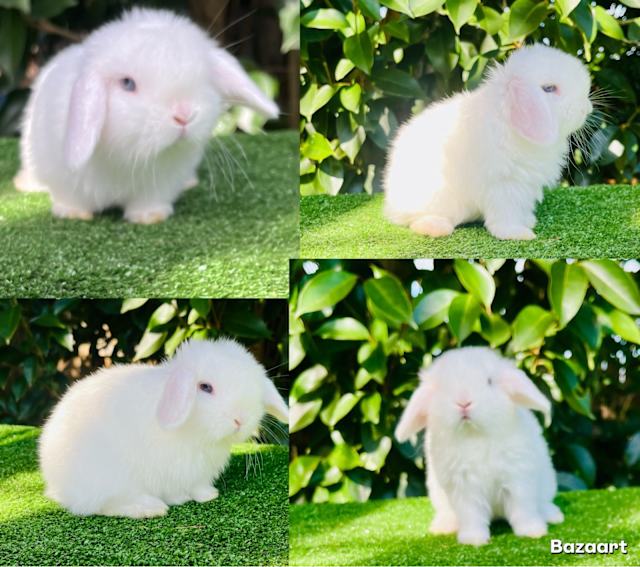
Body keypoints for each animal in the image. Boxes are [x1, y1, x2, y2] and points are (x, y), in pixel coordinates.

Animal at [14, 8, 278, 224]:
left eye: (203, 78)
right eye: (127, 84)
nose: (184, 115)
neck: (129, 154)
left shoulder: (160, 184)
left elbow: (150, 202)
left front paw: (150, 217)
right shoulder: (64, 179)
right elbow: (70, 198)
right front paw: (73, 214)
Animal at [38, 338, 289, 519]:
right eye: (205, 387)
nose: (240, 419)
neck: (198, 435)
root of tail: (55, 483)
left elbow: (198, 487)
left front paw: (208, 495)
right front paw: (183, 499)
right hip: (105, 478)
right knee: (101, 505)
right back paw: (149, 508)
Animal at [384, 44, 592, 240]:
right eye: (549, 88)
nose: (586, 109)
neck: (508, 124)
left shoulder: (524, 187)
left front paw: (528, 221)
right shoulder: (503, 186)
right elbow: (505, 216)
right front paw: (518, 234)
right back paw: (435, 227)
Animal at [395, 347, 563, 546]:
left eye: (489, 381)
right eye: (442, 388)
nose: (463, 402)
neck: (474, 435)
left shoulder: (518, 480)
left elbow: (523, 509)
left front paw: (533, 532)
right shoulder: (464, 489)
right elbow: (471, 516)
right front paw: (473, 540)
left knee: (542, 503)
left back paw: (553, 516)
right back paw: (443, 527)